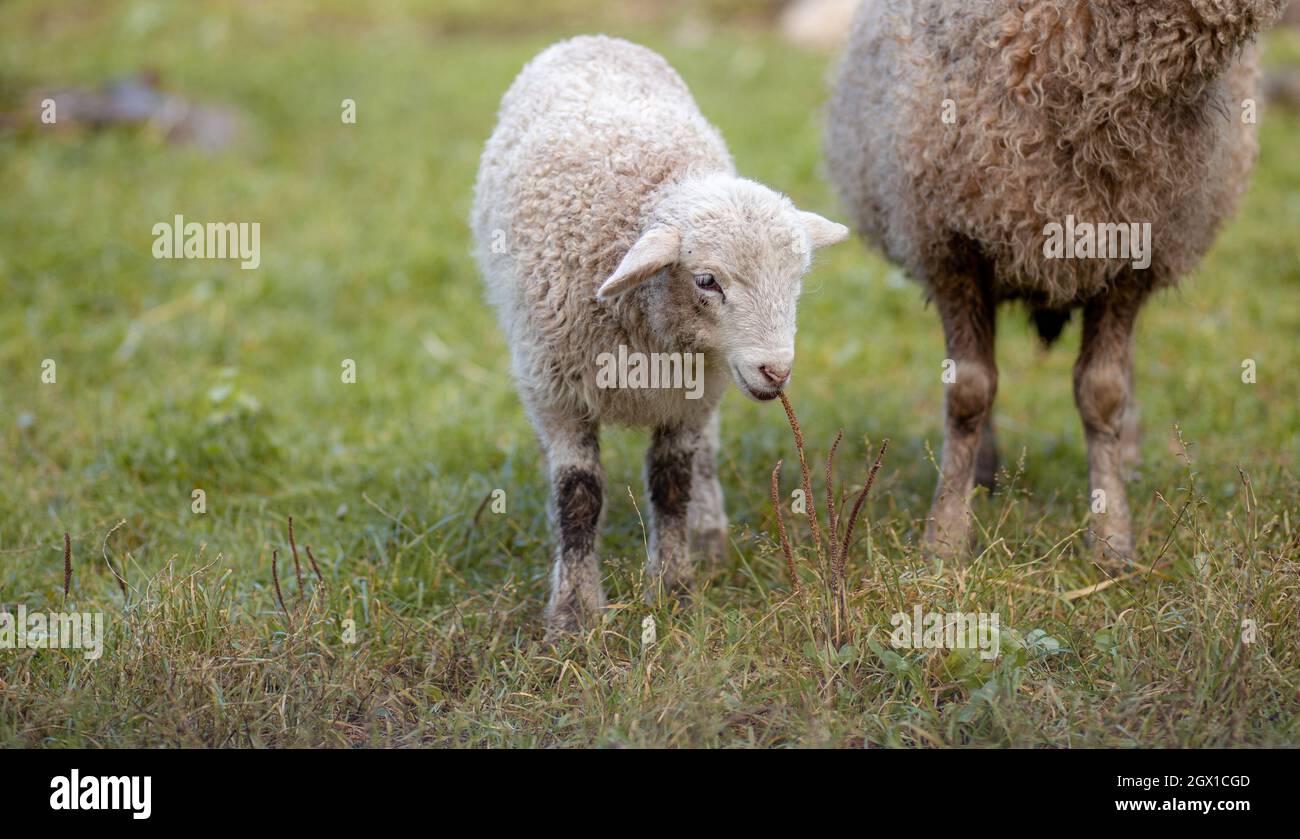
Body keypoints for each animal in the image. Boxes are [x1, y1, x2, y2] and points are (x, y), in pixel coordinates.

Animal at [472, 35, 849, 635]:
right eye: (706, 280)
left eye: (798, 278)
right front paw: (574, 613)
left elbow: (673, 483)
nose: (776, 370)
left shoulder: (691, 396)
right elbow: (579, 496)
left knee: (707, 456)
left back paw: (709, 532)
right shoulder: (557, 394)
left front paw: (674, 592)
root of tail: (592, 38)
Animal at [826, 0, 1283, 560]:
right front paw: (946, 537)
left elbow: (1103, 391)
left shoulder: (1137, 246)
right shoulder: (949, 238)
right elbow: (969, 391)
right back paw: (982, 471)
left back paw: (1125, 458)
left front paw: (1111, 538)